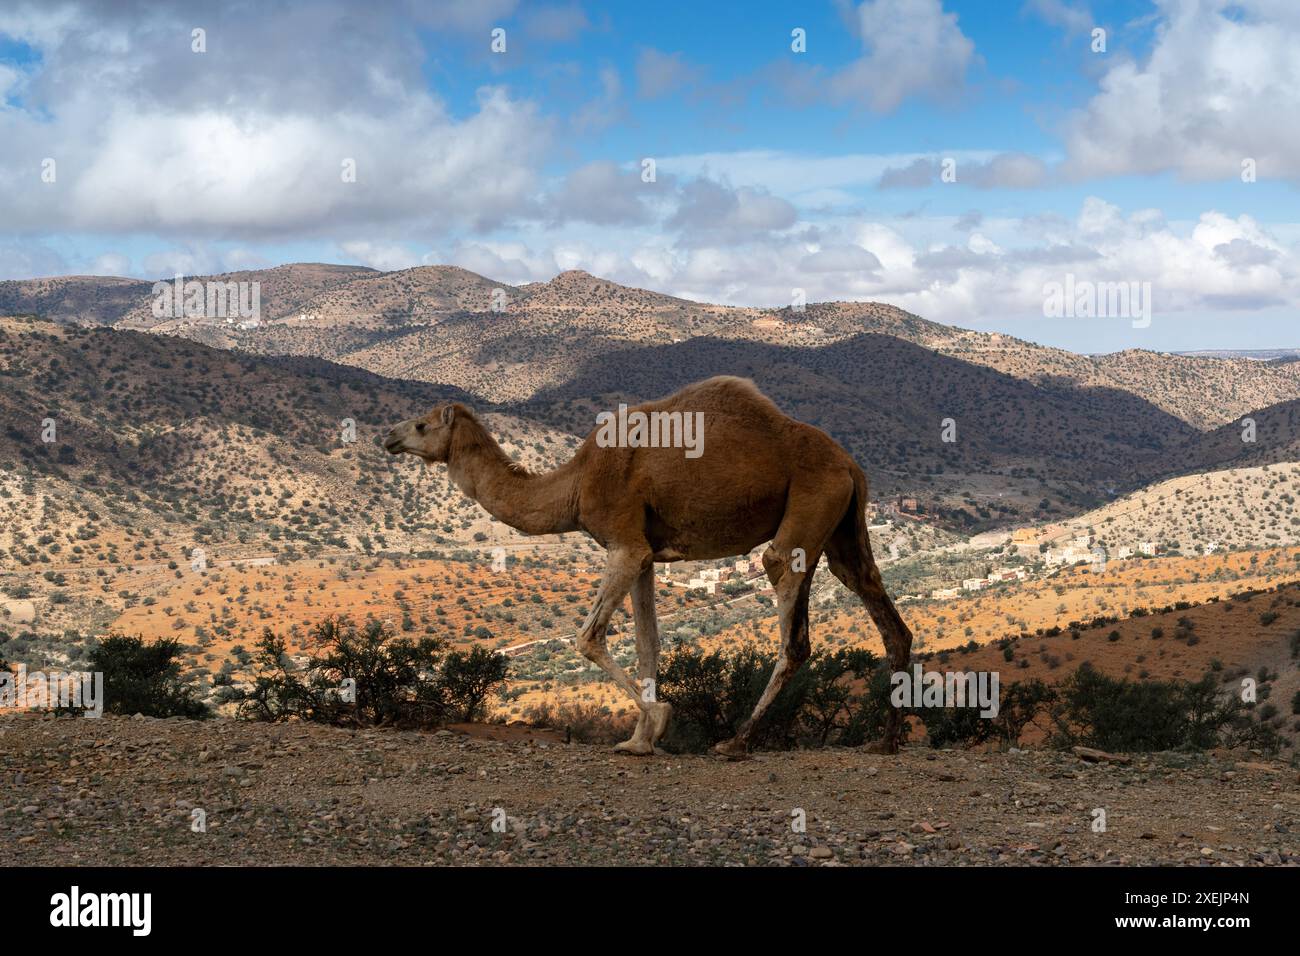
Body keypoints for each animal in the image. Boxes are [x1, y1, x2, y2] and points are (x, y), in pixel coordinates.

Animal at [383, 376, 913, 757]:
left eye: (422, 426)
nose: (388, 436)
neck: (574, 484)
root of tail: (850, 464)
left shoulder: (624, 543)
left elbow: (589, 638)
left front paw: (657, 722)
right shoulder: (645, 555)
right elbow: (647, 643)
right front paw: (639, 741)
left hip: (807, 511)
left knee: (792, 622)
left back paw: (735, 742)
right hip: (843, 527)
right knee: (882, 610)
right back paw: (885, 741)